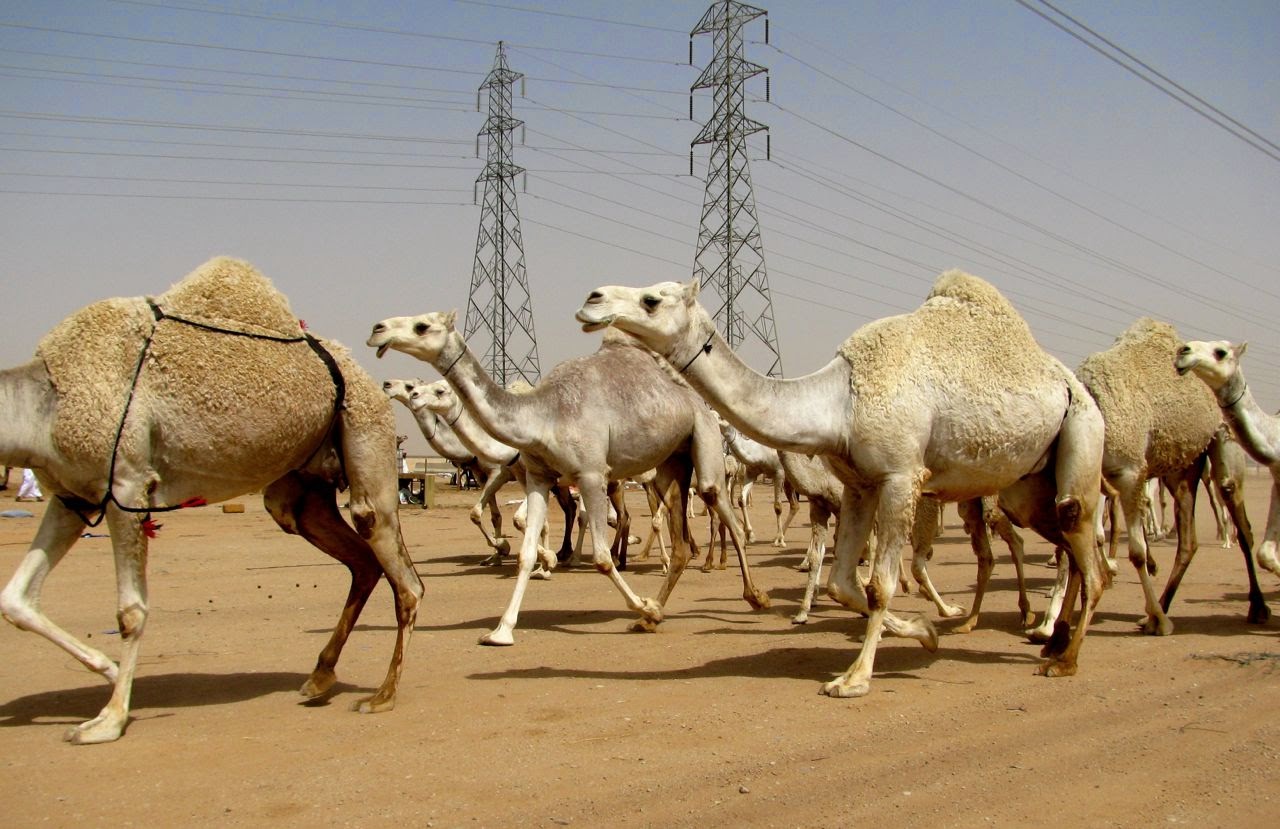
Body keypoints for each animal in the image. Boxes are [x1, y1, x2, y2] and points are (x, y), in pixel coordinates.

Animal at [0, 257, 422, 743]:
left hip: (365, 428)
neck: (44, 400)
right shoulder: (74, 496)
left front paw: (108, 719)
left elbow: (131, 611)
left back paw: (382, 695)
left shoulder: (126, 483)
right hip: (299, 488)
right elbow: (15, 600)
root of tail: (361, 373)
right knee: (357, 558)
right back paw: (319, 677)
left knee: (399, 567)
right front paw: (105, 668)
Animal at [368, 315, 767, 645]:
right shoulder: (538, 475)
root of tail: (701, 404)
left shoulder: (586, 473)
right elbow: (524, 543)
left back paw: (750, 593)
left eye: (422, 325)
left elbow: (599, 555)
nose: (378, 329)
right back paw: (652, 605)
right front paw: (502, 628)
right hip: (671, 462)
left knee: (719, 508)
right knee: (673, 529)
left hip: (702, 442)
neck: (544, 413)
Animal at [577, 270, 1108, 697]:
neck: (839, 402)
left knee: (1087, 549)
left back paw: (1065, 658)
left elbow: (880, 585)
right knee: (1073, 548)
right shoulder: (858, 485)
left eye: (651, 300)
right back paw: (1049, 640)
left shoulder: (901, 476)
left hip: (1082, 433)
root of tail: (1071, 383)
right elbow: (842, 584)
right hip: (1029, 482)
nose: (591, 299)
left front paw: (854, 678)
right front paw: (925, 631)